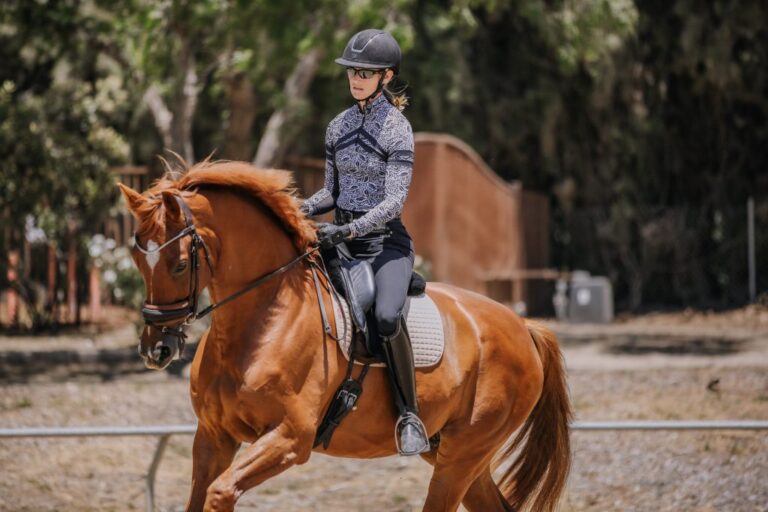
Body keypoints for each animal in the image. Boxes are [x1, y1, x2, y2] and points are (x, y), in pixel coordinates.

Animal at [118, 160, 572, 512]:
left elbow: (219, 493)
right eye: (138, 260)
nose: (157, 349)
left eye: (179, 265)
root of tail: (522, 326)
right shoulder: (213, 437)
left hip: (462, 456)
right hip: (451, 453)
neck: (262, 319)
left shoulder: (289, 439)